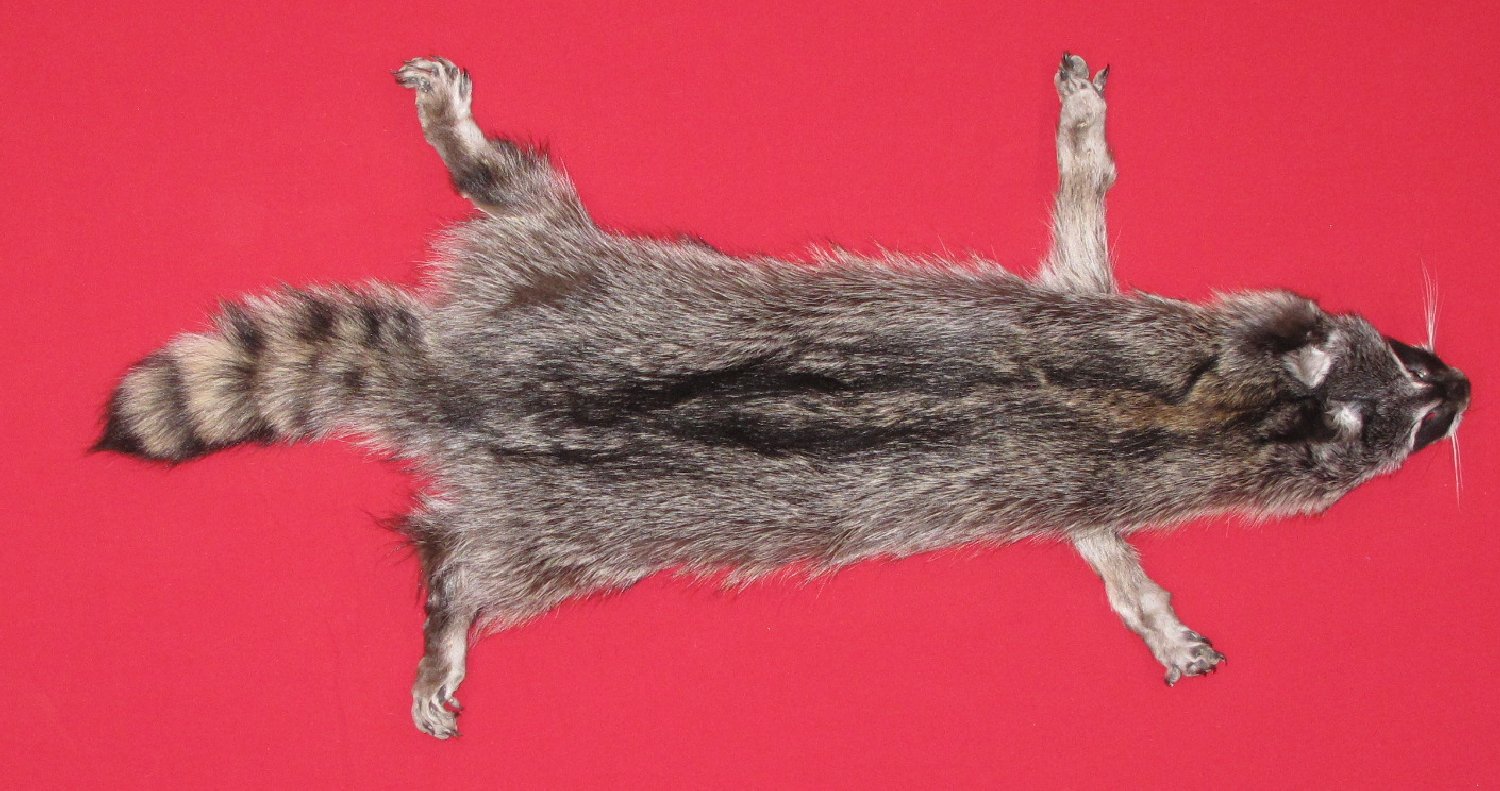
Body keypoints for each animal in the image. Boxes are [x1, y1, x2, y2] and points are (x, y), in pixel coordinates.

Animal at [95, 54, 1471, 738]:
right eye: (1409, 404)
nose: (1462, 380)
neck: (1222, 405)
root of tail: (456, 379)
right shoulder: (1097, 344)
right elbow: (1085, 217)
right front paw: (1160, 618)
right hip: (564, 510)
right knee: (474, 535)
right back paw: (448, 611)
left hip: (547, 281)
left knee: (520, 207)